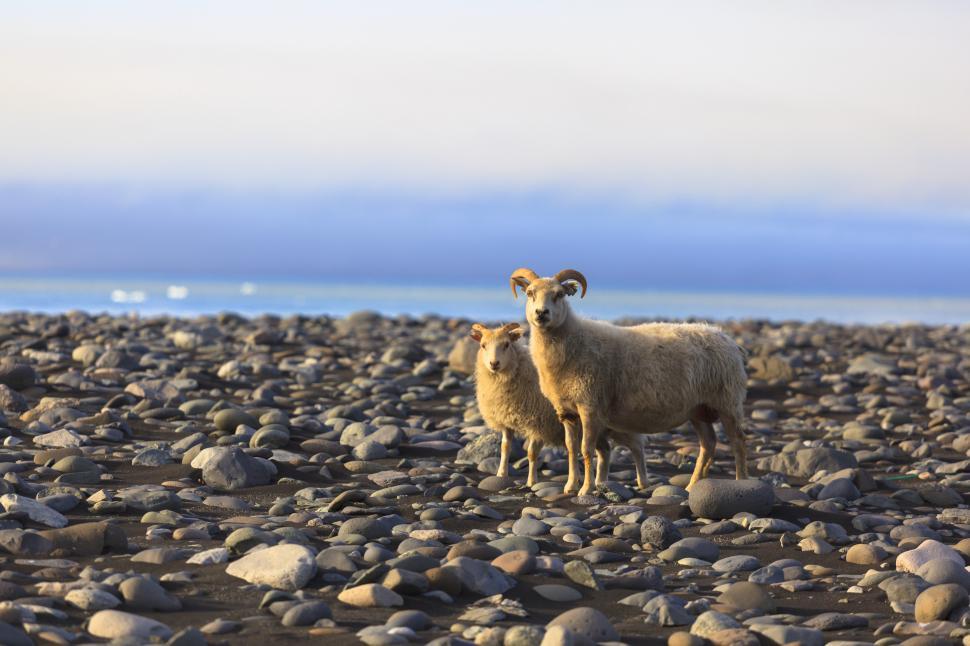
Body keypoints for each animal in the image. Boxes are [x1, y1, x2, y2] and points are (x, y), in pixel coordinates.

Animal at [470, 322, 646, 489]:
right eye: (483, 345)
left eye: (506, 344)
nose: (494, 363)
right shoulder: (506, 420)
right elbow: (505, 448)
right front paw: (501, 474)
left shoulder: (539, 423)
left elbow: (531, 453)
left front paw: (531, 481)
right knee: (605, 450)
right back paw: (600, 482)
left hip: (621, 425)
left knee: (637, 447)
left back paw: (642, 481)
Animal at [509, 267, 749, 496]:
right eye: (530, 293)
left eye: (559, 294)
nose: (541, 313)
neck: (572, 343)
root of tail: (726, 338)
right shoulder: (566, 411)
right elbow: (571, 448)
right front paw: (570, 486)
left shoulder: (590, 407)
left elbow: (586, 449)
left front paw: (586, 489)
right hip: (698, 409)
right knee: (708, 444)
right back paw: (692, 486)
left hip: (728, 401)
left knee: (738, 442)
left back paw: (740, 482)